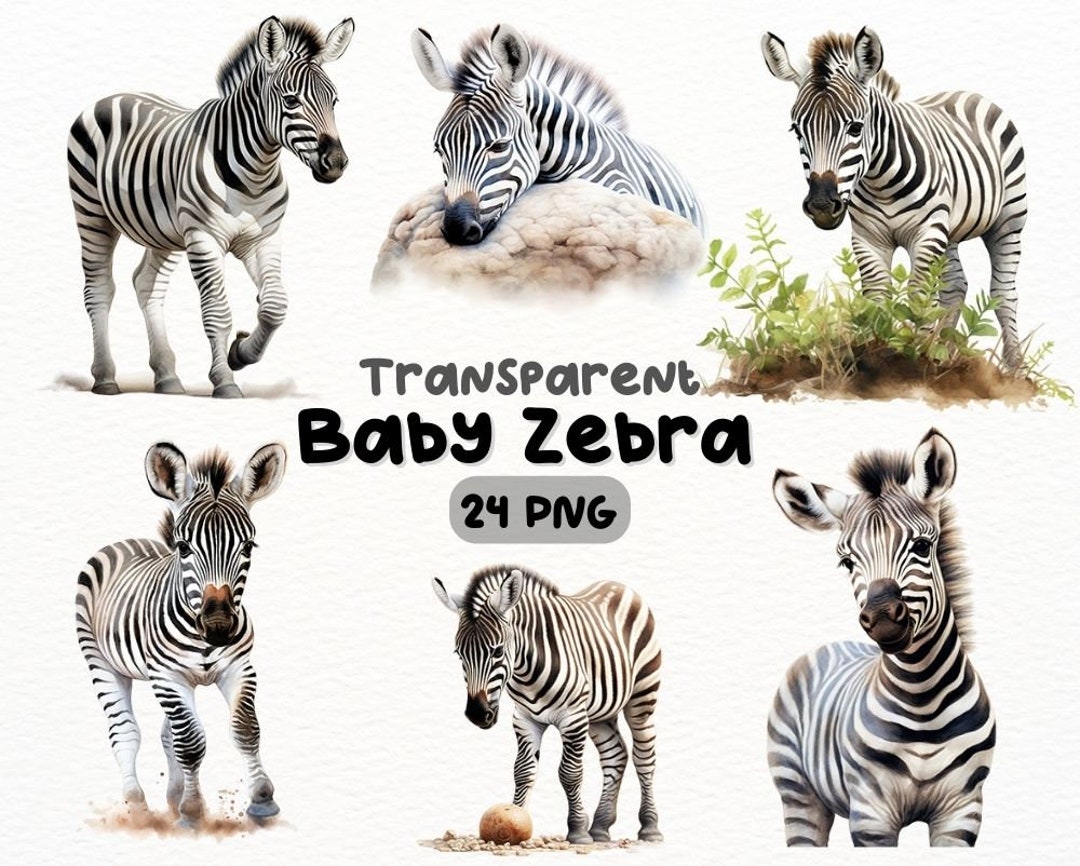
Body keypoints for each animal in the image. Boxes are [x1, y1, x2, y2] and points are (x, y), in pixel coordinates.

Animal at [68, 16, 353, 398]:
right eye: (291, 100)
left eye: (334, 101)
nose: (336, 163)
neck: (254, 174)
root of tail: (113, 95)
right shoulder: (204, 239)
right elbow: (217, 311)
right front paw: (224, 380)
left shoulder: (263, 238)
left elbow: (275, 305)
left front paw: (240, 353)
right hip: (91, 212)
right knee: (98, 288)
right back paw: (105, 378)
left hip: (165, 231)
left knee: (146, 284)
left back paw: (167, 377)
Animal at [75, 442, 287, 824]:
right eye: (184, 548)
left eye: (248, 547)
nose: (219, 627)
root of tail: (126, 541)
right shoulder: (168, 676)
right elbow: (189, 742)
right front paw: (192, 811)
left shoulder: (239, 668)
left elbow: (245, 728)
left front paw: (262, 798)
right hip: (101, 661)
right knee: (124, 733)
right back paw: (137, 805)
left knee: (166, 734)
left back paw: (172, 798)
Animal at [432, 565, 663, 844]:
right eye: (459, 654)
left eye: (497, 651)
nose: (477, 714)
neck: (526, 671)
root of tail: (619, 585)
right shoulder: (524, 719)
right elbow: (523, 770)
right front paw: (517, 819)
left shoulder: (573, 718)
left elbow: (570, 773)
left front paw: (577, 830)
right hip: (600, 712)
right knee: (615, 755)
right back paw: (600, 827)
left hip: (642, 698)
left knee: (644, 758)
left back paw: (649, 828)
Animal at [761, 28, 1027, 370]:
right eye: (796, 131)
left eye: (855, 128)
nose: (821, 205)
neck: (881, 183)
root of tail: (966, 93)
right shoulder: (868, 239)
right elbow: (877, 295)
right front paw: (877, 356)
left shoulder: (926, 234)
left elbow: (919, 297)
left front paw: (917, 359)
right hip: (949, 228)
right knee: (956, 285)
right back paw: (946, 349)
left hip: (1009, 219)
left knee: (1004, 291)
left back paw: (1014, 368)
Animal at [769, 429, 995, 846]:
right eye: (847, 562)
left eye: (922, 546)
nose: (882, 618)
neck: (924, 704)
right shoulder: (871, 817)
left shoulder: (962, 812)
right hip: (798, 792)